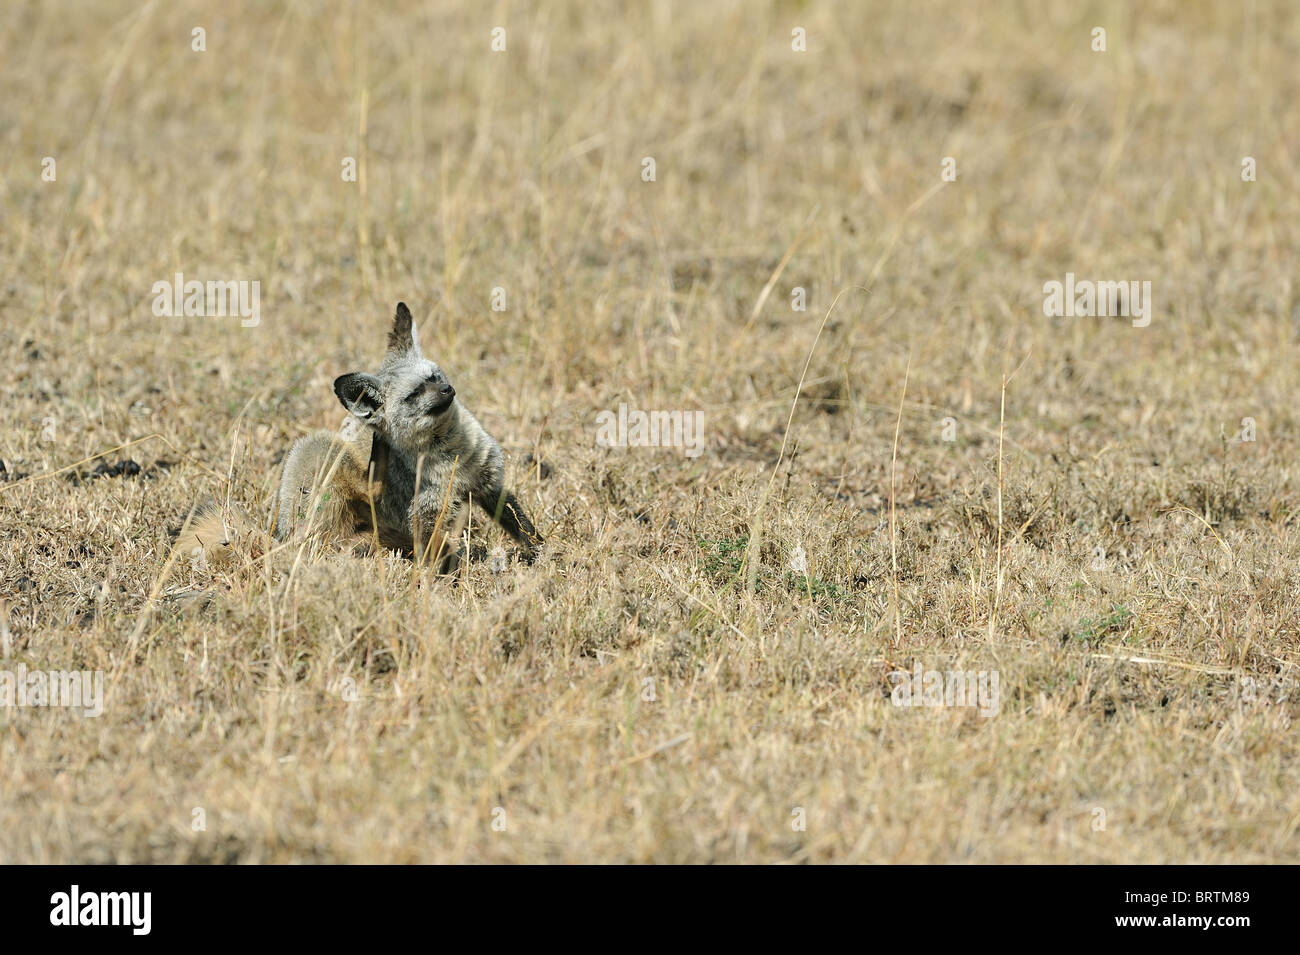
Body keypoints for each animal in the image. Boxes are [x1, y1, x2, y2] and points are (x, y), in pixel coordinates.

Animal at [187, 301, 543, 572]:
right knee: (357, 506)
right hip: (319, 448)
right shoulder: (424, 515)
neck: (450, 459)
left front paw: (542, 552)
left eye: (434, 376)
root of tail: (281, 536)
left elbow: (523, 526)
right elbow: (436, 550)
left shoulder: (489, 484)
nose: (448, 390)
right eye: (413, 395)